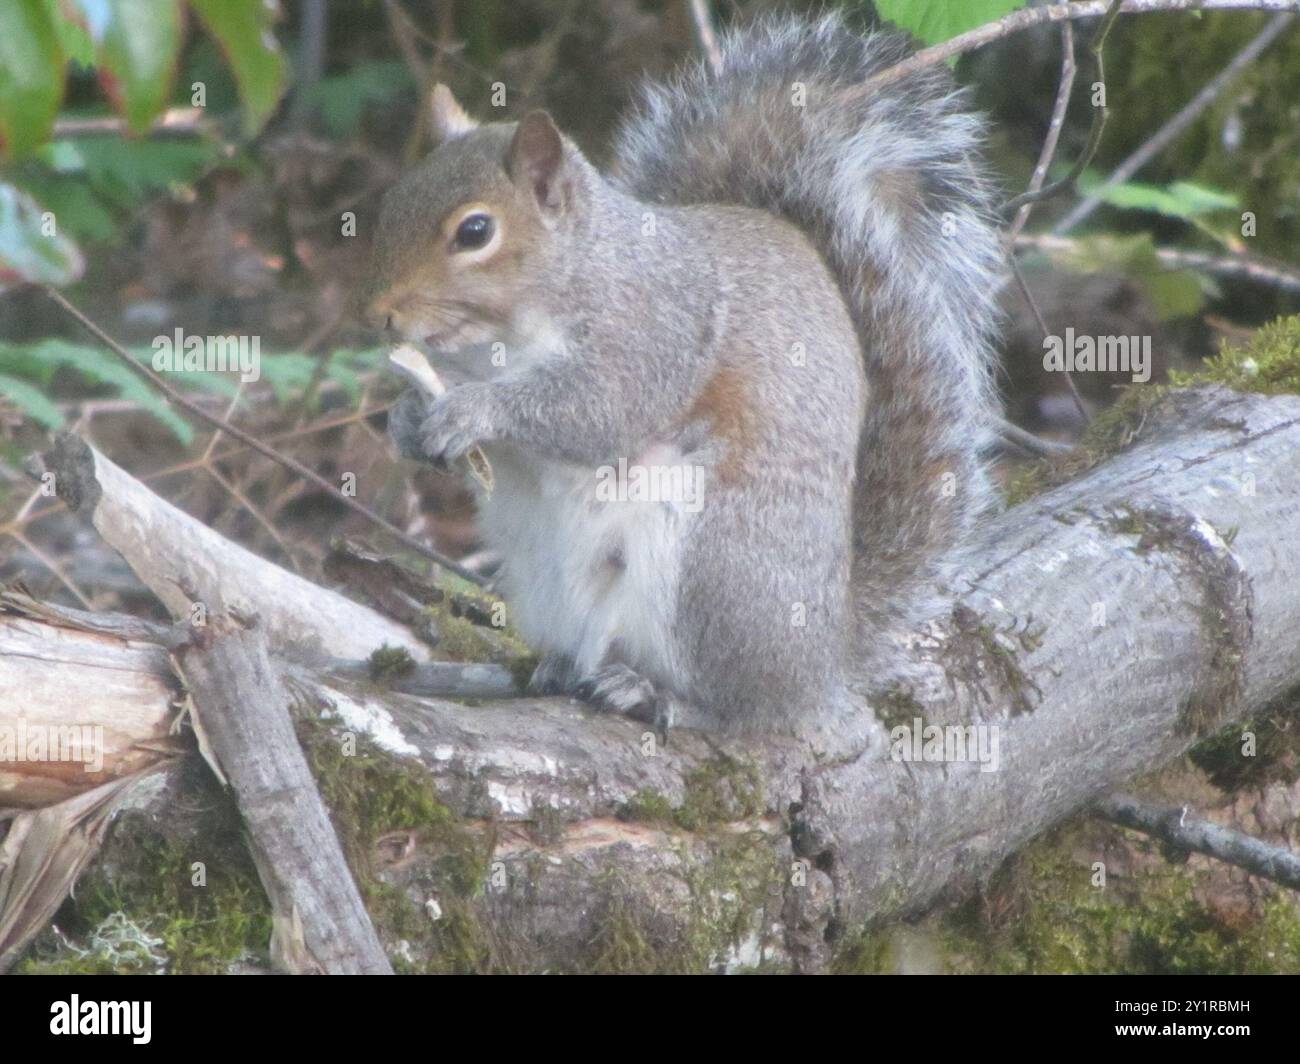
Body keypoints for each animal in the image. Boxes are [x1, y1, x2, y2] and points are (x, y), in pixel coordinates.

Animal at [368, 13, 1003, 747]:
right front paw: (406, 421)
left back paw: (661, 695)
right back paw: (562, 668)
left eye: (475, 231)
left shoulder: (655, 332)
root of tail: (825, 658)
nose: (379, 314)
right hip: (543, 575)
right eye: (391, 203)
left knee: (745, 712)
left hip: (713, 568)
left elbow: (596, 412)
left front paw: (472, 410)